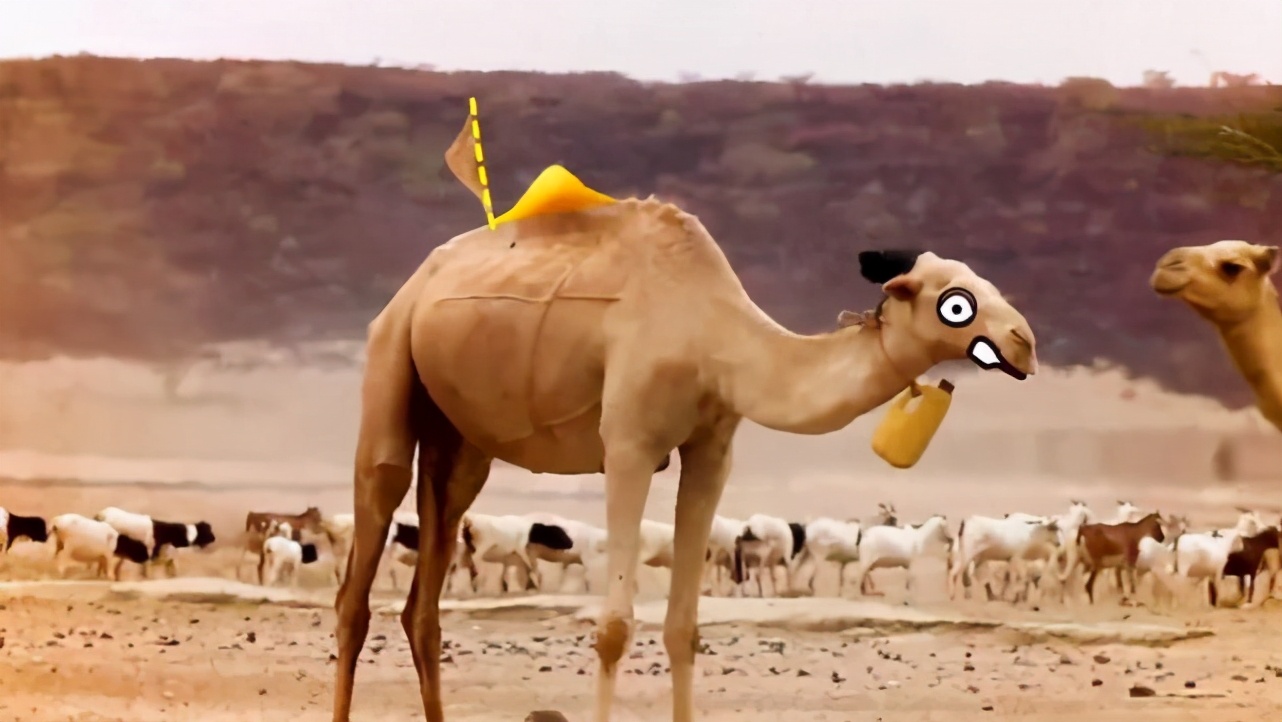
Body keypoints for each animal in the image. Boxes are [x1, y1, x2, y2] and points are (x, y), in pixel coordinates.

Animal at [331, 115, 1038, 722]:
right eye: (956, 304)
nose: (1025, 342)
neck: (713, 334)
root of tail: (418, 282)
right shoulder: (628, 444)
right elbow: (614, 626)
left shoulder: (711, 449)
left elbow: (683, 626)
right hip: (391, 359)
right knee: (360, 573)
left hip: (462, 438)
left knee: (426, 592)